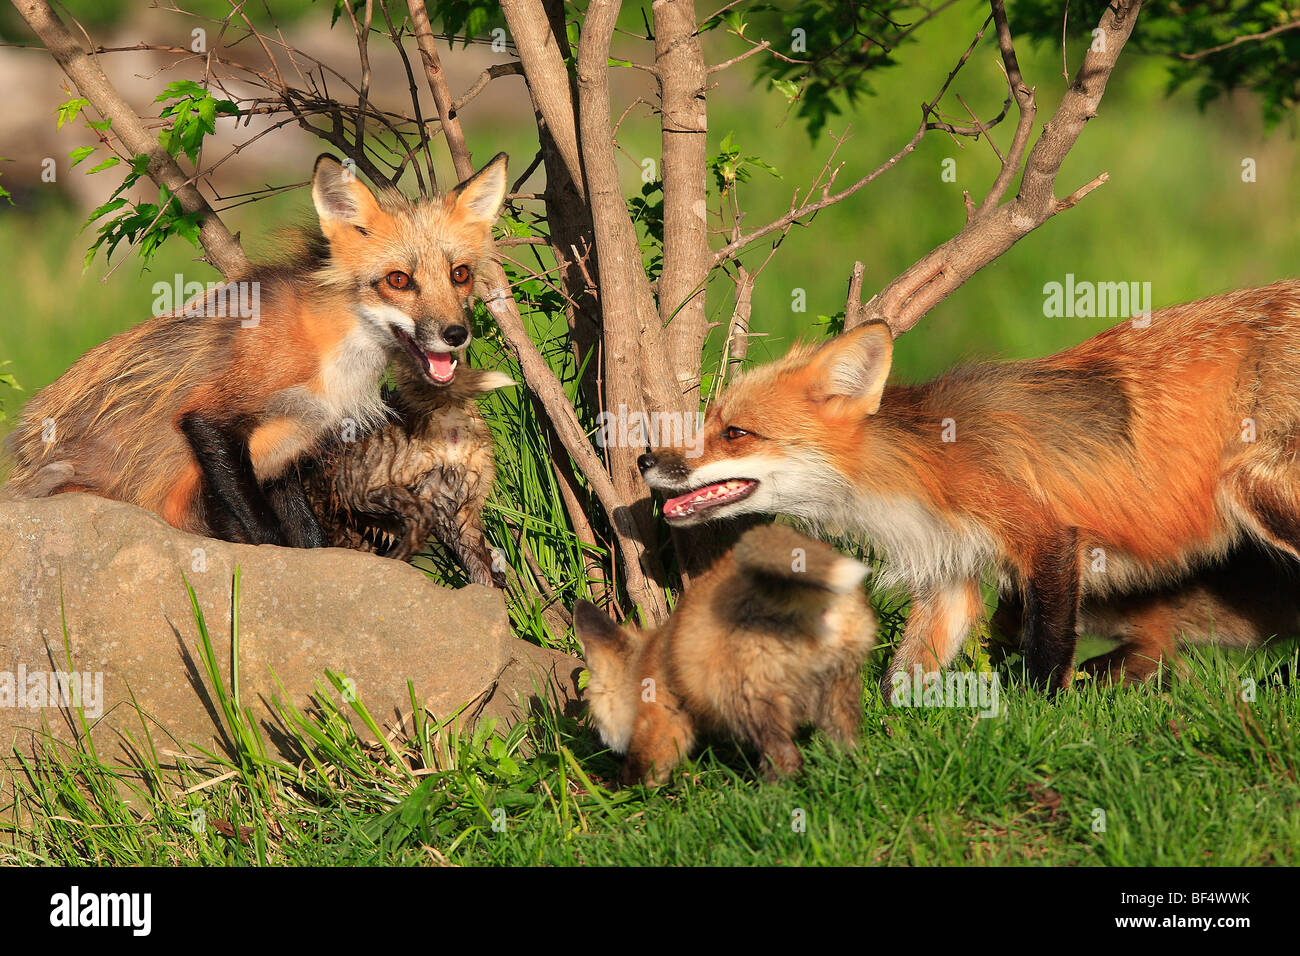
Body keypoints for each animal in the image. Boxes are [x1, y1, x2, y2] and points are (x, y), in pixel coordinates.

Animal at [3, 152, 508, 548]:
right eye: (399, 280)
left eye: (460, 275)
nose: (456, 334)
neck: (326, 348)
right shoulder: (210, 420)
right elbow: (266, 533)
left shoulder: (284, 450)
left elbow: (307, 536)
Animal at [574, 524, 875, 785]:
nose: (597, 744)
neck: (643, 665)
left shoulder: (664, 721)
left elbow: (645, 764)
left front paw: (621, 788)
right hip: (838, 694)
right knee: (848, 744)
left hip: (741, 698)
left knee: (786, 757)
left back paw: (769, 796)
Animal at [992, 542, 1300, 683]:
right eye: (1001, 599)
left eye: (1021, 605)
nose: (991, 639)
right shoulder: (1170, 648)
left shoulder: (1155, 640)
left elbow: (1092, 667)